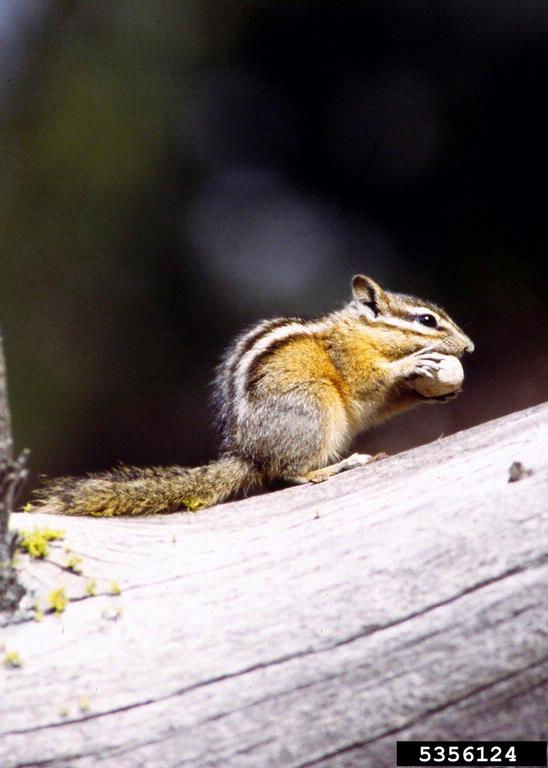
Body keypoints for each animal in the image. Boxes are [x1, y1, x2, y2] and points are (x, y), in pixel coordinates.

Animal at [31, 274, 474, 516]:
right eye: (427, 320)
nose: (469, 348)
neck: (364, 331)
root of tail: (248, 453)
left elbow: (385, 404)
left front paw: (436, 394)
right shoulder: (351, 359)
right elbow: (369, 381)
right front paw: (413, 363)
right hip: (316, 410)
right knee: (290, 472)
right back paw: (337, 467)